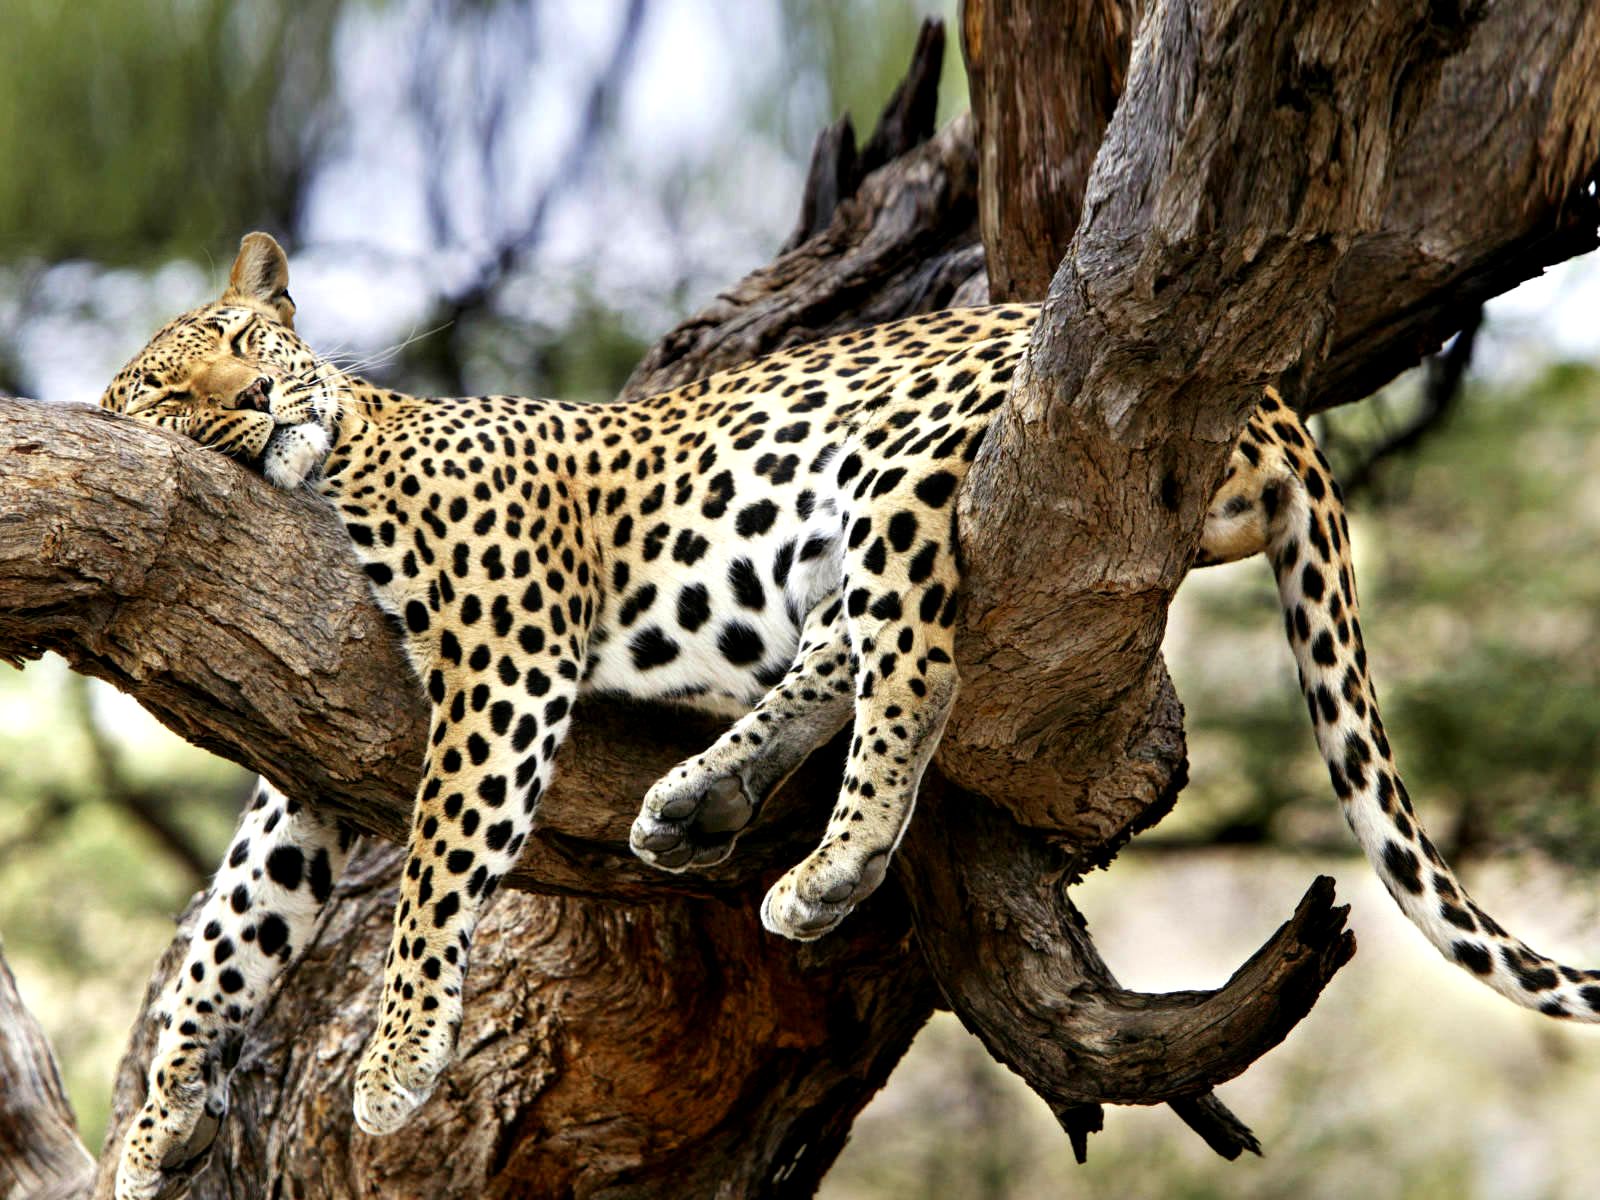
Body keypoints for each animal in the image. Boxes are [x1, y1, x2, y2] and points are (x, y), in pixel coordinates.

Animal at [101, 232, 1600, 1199]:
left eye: (245, 343)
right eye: (173, 388)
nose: (256, 397)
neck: (332, 466)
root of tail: (1281, 400)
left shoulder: (503, 658)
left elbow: (429, 875)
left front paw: (398, 1063)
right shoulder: (306, 757)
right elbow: (233, 928)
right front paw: (157, 1121)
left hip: (900, 463)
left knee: (917, 666)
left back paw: (831, 865)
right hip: (832, 539)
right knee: (848, 645)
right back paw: (700, 799)